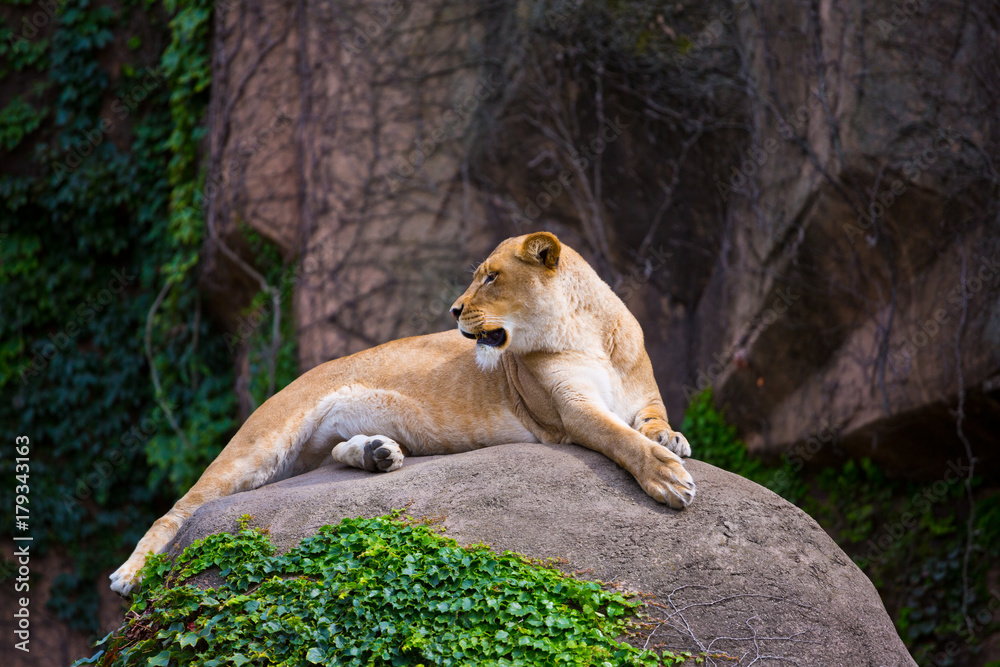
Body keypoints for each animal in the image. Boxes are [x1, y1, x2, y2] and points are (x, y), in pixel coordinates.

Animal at [109, 231, 695, 596]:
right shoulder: (569, 412)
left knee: (332, 456)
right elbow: (619, 438)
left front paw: (673, 443)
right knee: (180, 509)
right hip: (259, 445)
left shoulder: (645, 397)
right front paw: (668, 478)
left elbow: (651, 423)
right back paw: (130, 572)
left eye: (491, 278)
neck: (584, 329)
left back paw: (376, 453)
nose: (454, 311)